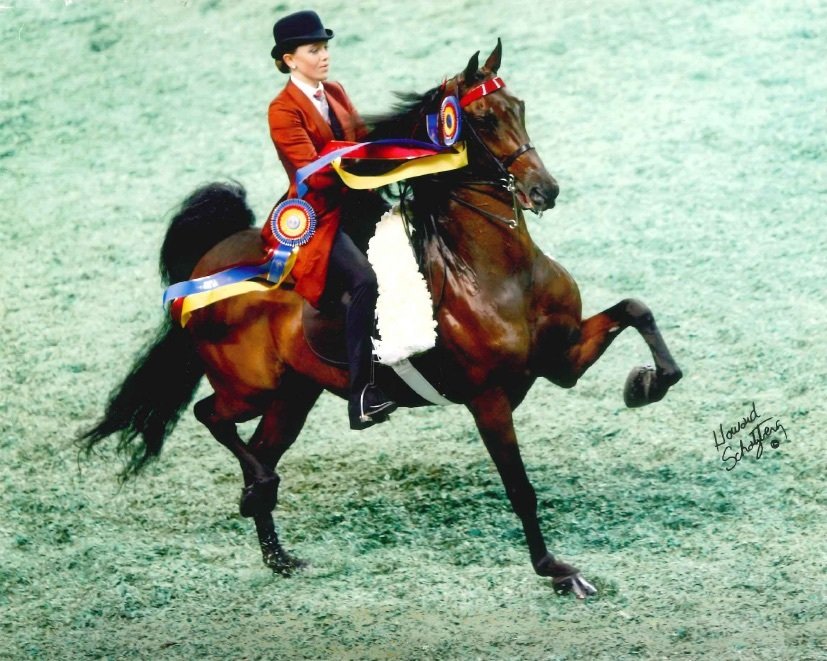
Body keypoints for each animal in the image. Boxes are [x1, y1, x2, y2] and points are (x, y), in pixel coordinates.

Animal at [80, 41, 682, 599]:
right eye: (484, 119)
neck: (499, 271)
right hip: (251, 387)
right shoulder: (488, 398)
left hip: (293, 395)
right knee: (211, 415)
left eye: (520, 106)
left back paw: (277, 547)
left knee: (261, 449)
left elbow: (637, 310)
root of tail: (209, 265)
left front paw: (645, 384)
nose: (544, 191)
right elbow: (520, 488)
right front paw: (556, 571)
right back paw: (260, 487)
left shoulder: (561, 359)